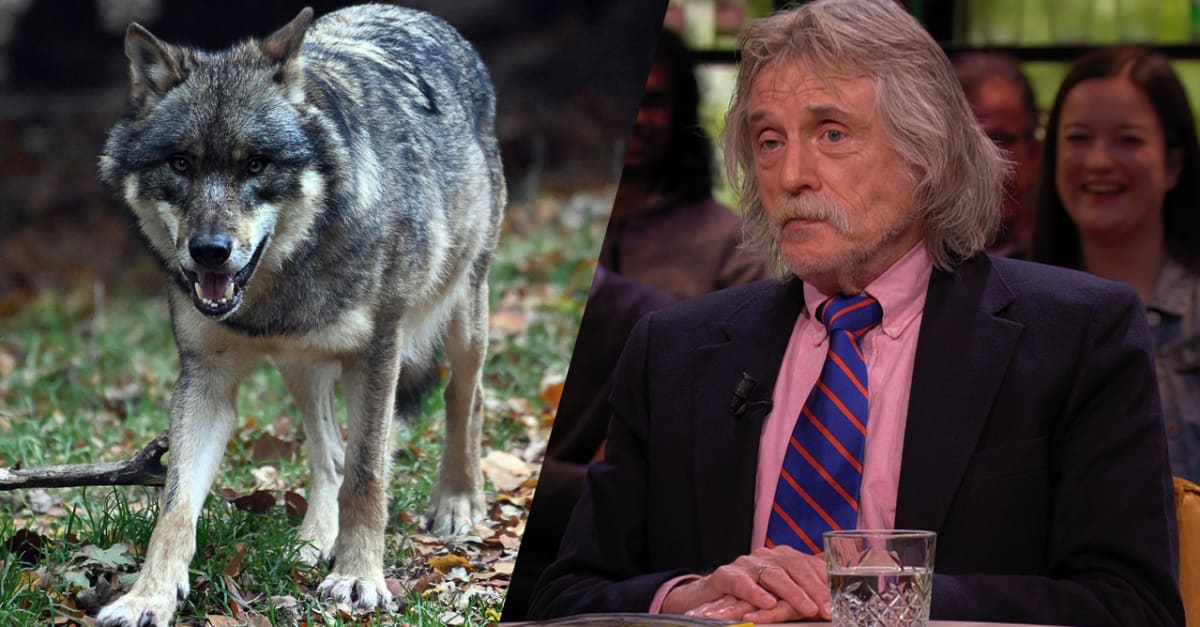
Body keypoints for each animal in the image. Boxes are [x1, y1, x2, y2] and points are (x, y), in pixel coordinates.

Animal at [94, 4, 504, 624]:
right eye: (182, 163)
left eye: (256, 164)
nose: (208, 251)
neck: (279, 288)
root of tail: (414, 14)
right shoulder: (205, 377)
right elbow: (175, 507)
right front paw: (149, 597)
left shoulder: (378, 354)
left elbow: (367, 478)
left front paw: (360, 578)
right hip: (302, 367)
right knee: (329, 452)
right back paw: (313, 541)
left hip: (462, 318)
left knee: (466, 397)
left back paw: (457, 502)